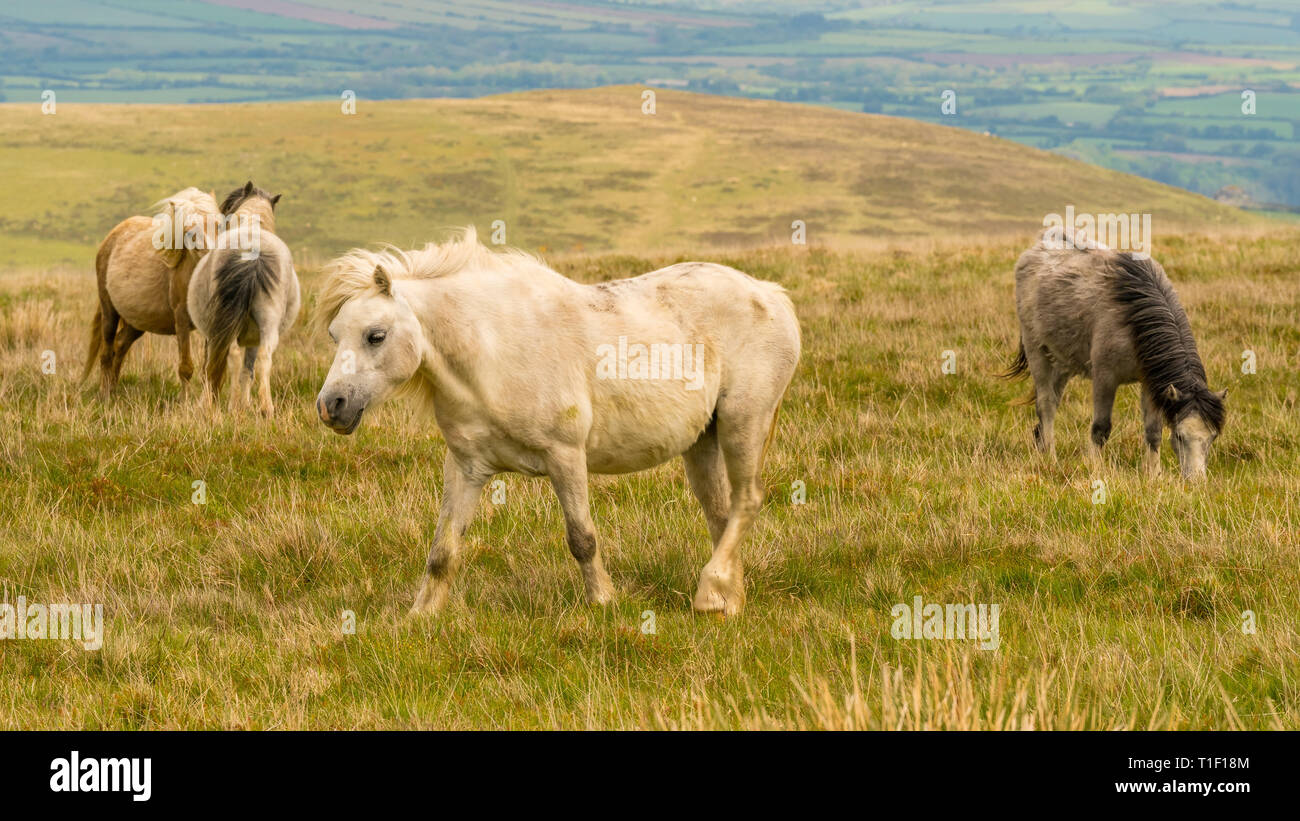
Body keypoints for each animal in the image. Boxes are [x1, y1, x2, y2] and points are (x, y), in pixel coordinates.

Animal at [82, 187, 222, 399]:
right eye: (189, 232)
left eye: (219, 225)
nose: (213, 259)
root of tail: (112, 236)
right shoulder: (181, 319)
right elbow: (186, 368)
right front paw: (185, 402)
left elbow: (210, 369)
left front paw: (208, 403)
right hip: (109, 312)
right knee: (106, 353)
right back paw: (104, 395)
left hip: (136, 321)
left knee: (120, 345)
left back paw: (113, 390)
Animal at [187, 181, 299, 417]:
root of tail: (251, 252)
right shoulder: (251, 338)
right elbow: (247, 370)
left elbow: (212, 367)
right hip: (268, 324)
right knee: (263, 358)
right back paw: (265, 408)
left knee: (234, 357)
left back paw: (236, 406)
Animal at [314, 228, 800, 616]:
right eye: (335, 335)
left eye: (376, 336)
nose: (331, 406)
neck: (493, 353)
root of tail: (769, 294)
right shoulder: (466, 468)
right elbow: (443, 550)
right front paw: (420, 617)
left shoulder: (565, 457)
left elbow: (582, 538)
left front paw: (603, 601)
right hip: (702, 442)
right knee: (720, 514)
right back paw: (728, 601)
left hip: (743, 422)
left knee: (747, 500)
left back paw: (710, 593)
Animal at [1003, 230, 1227, 480]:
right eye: (1179, 435)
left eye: (1212, 437)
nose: (1195, 480)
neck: (1135, 318)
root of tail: (1035, 250)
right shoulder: (1105, 378)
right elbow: (1101, 428)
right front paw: (1094, 468)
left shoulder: (1149, 384)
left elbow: (1153, 431)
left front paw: (1153, 475)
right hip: (1038, 353)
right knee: (1046, 405)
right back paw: (1050, 457)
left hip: (1061, 363)